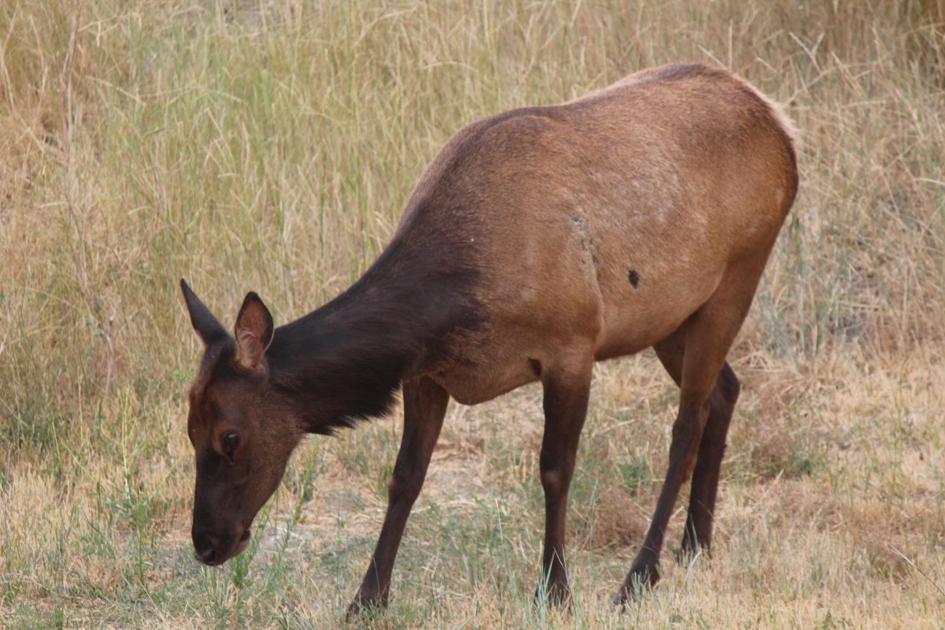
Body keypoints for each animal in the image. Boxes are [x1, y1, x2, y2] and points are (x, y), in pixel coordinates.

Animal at [180, 63, 798, 617]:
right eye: (189, 429)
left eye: (230, 436)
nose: (207, 544)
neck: (463, 295)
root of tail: (782, 127)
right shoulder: (426, 373)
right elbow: (404, 478)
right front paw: (366, 600)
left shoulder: (572, 346)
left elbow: (555, 469)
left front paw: (555, 592)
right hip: (671, 316)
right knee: (726, 390)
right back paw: (696, 546)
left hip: (739, 273)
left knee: (686, 424)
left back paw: (639, 578)